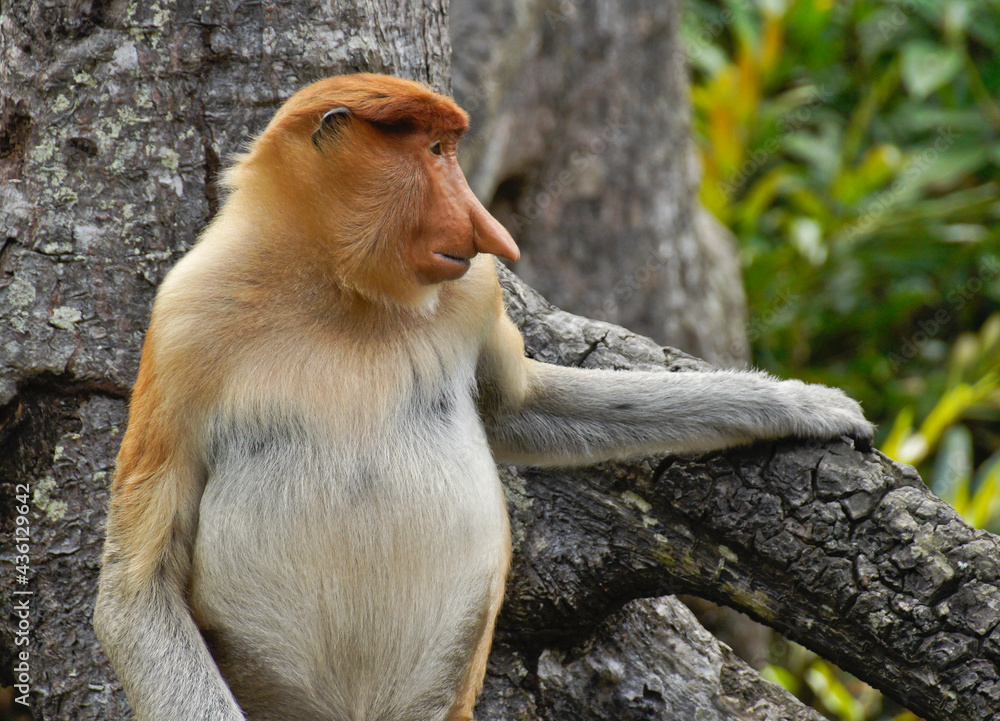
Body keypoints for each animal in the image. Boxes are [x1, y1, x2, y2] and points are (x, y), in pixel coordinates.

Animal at [93, 73, 873, 721]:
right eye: (435, 151)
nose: (492, 233)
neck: (336, 289)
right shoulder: (184, 321)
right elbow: (138, 591)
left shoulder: (473, 288)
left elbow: (515, 406)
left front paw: (798, 404)